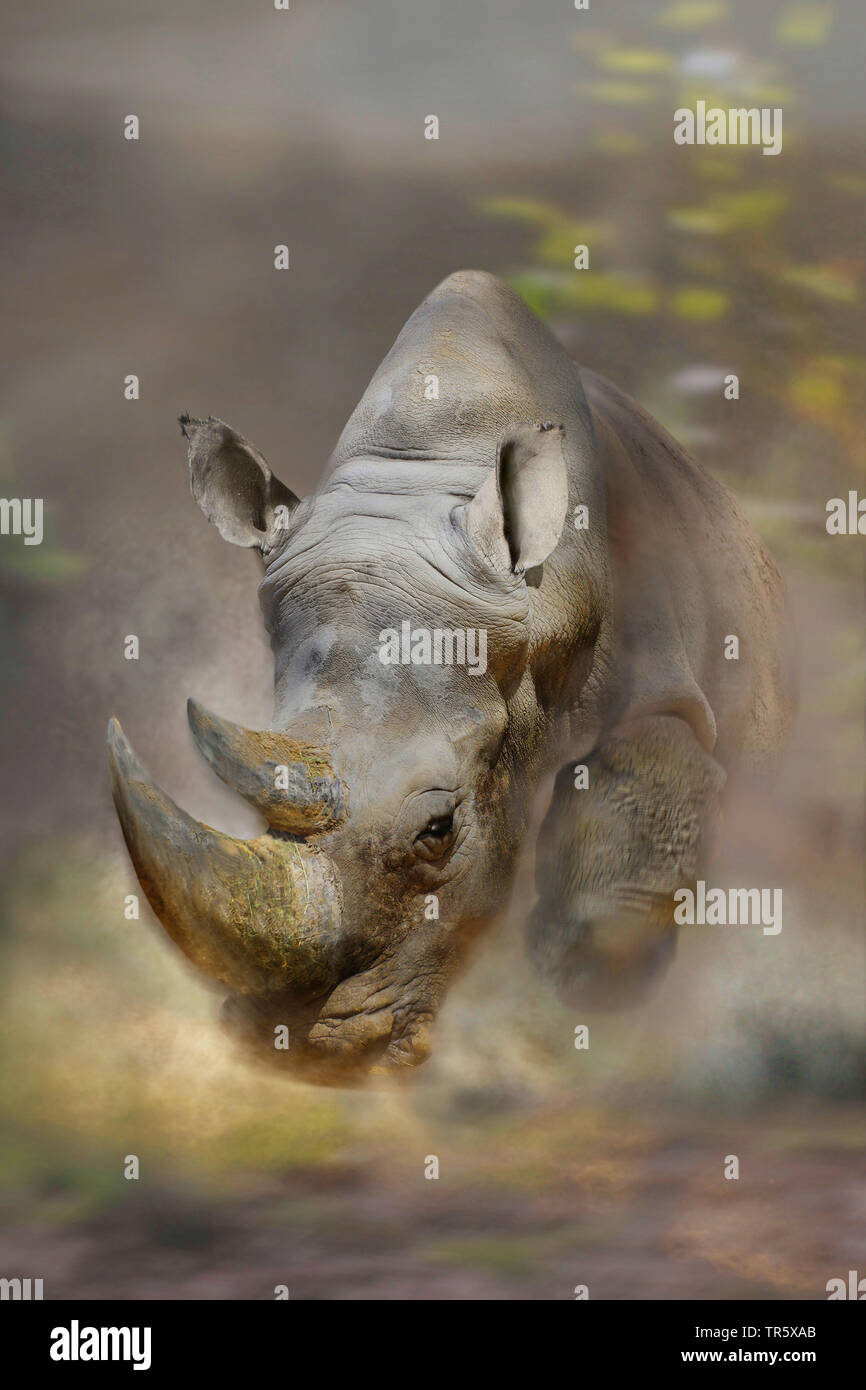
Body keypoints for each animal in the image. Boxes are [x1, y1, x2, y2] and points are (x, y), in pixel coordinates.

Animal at [108, 270, 795, 1085]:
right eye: (258, 814)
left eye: (439, 830)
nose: (298, 1054)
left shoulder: (660, 667)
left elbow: (654, 761)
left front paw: (585, 975)